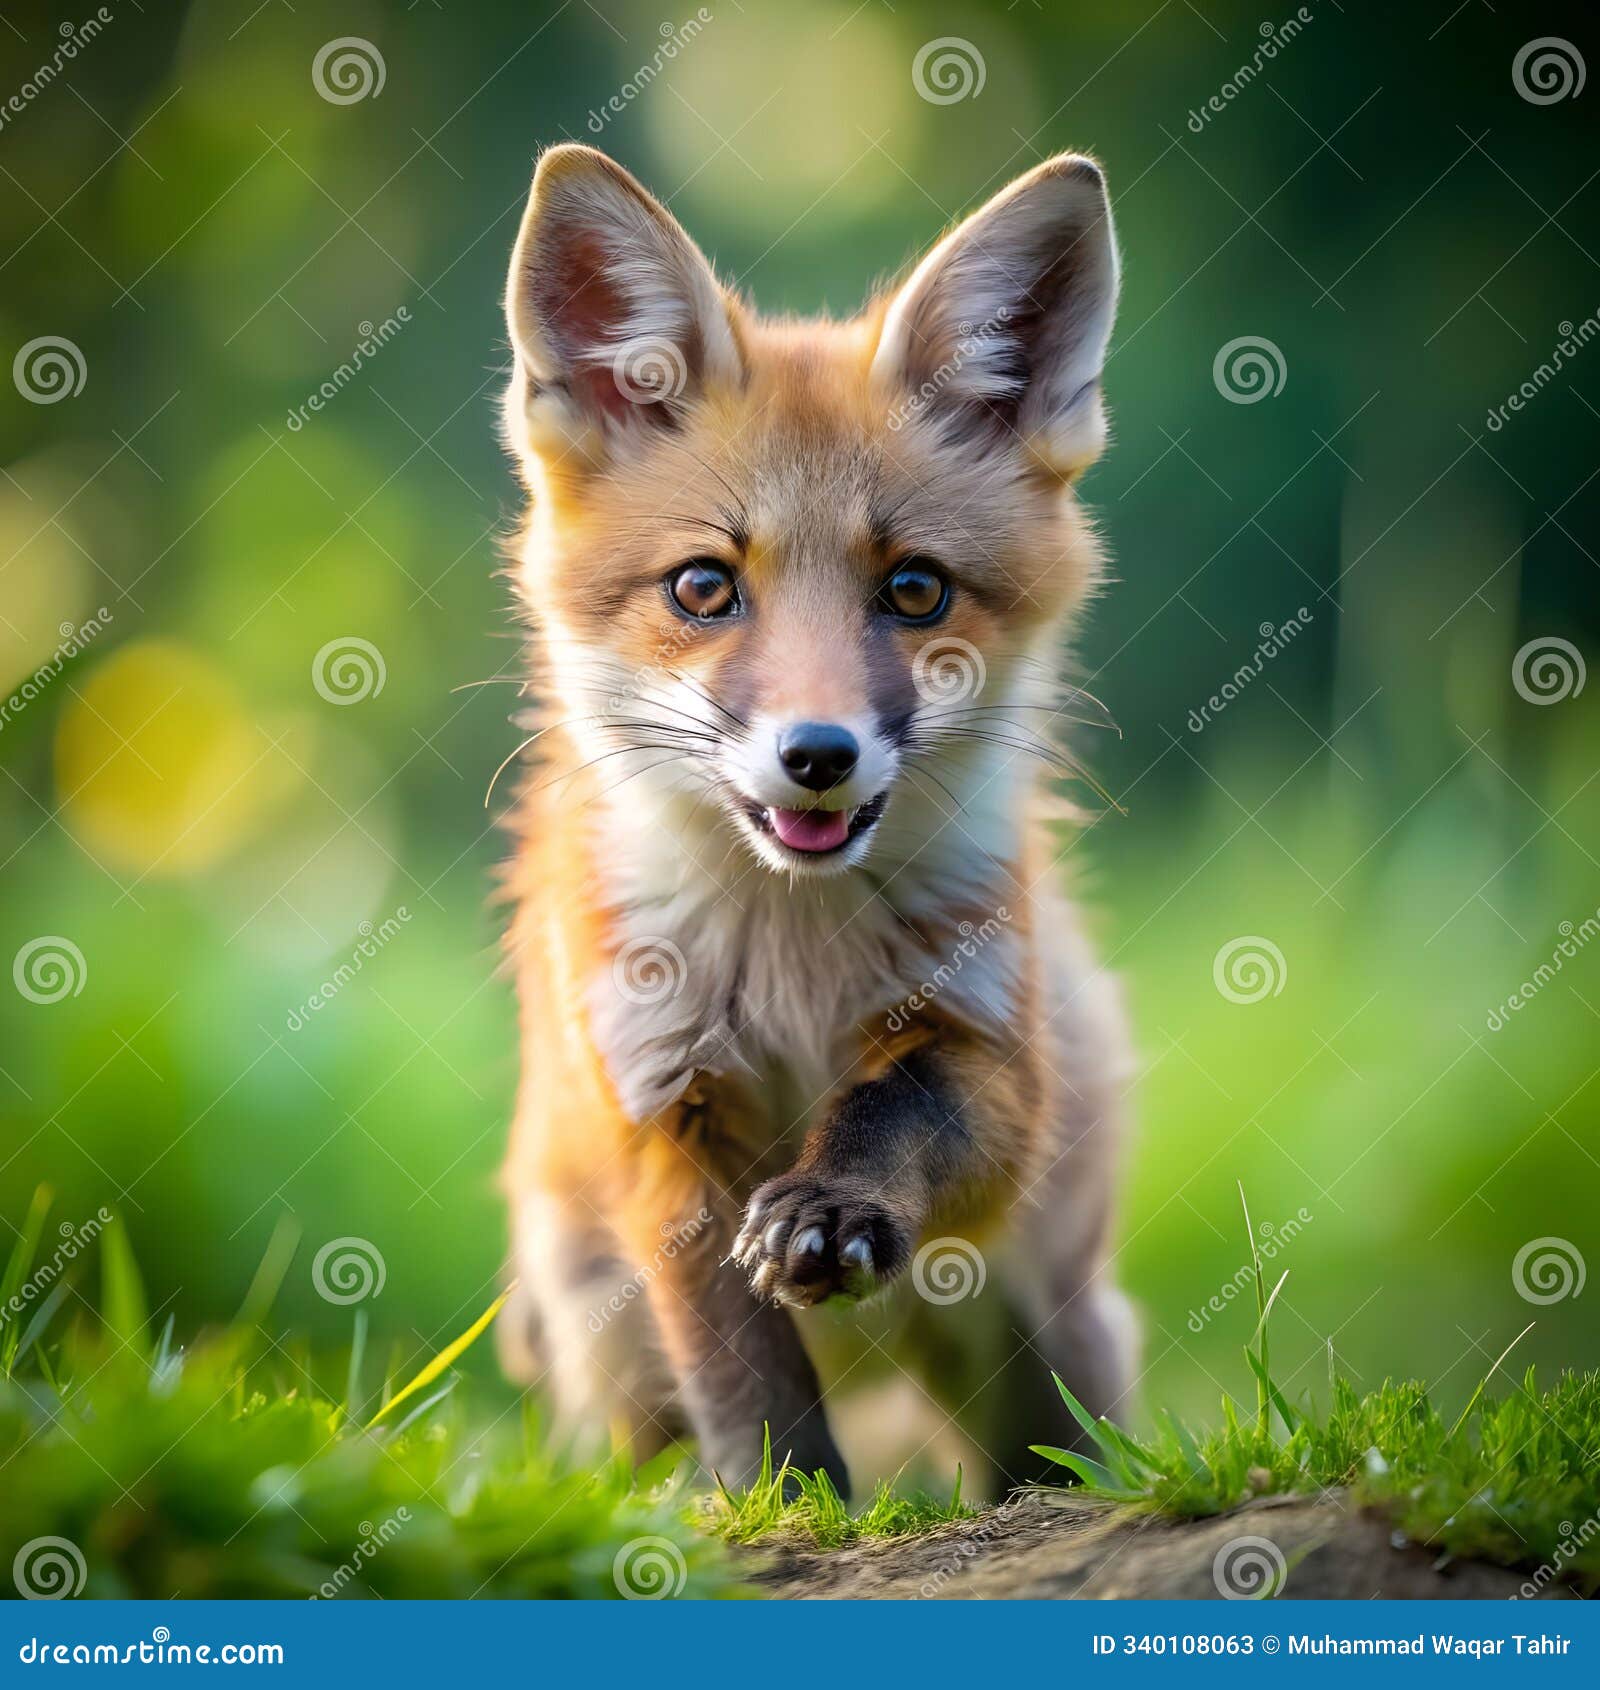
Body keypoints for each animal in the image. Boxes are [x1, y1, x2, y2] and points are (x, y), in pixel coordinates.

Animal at [494, 142, 1137, 1499]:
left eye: (915, 590)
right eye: (702, 587)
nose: (817, 755)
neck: (787, 953)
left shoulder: (989, 1052)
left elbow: (899, 1114)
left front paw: (833, 1204)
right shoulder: (655, 1109)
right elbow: (746, 1384)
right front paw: (784, 1506)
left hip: (1056, 1330)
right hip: (599, 1352)